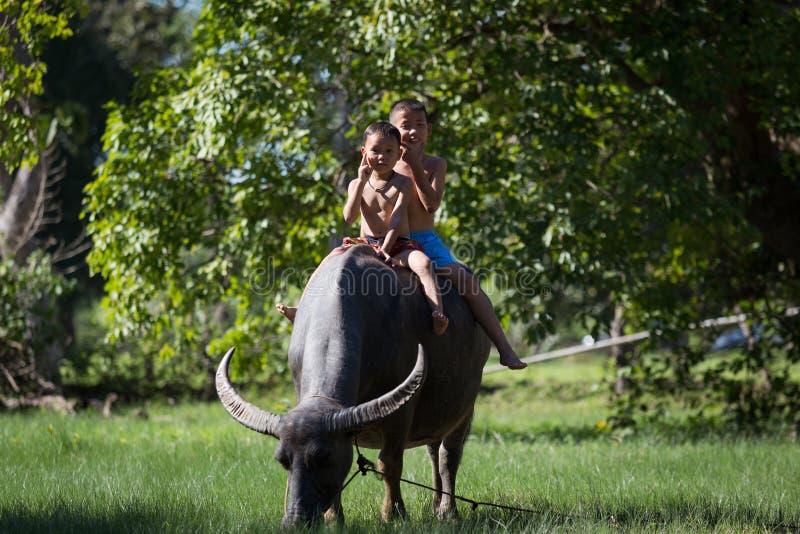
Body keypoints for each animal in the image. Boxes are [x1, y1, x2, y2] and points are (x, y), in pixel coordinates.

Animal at [216, 244, 490, 527]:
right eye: (282, 459)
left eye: (322, 457)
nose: (295, 521)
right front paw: (334, 519)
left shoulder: (403, 411)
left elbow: (389, 463)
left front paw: (393, 514)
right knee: (433, 450)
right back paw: (436, 506)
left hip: (465, 408)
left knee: (449, 455)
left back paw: (448, 511)